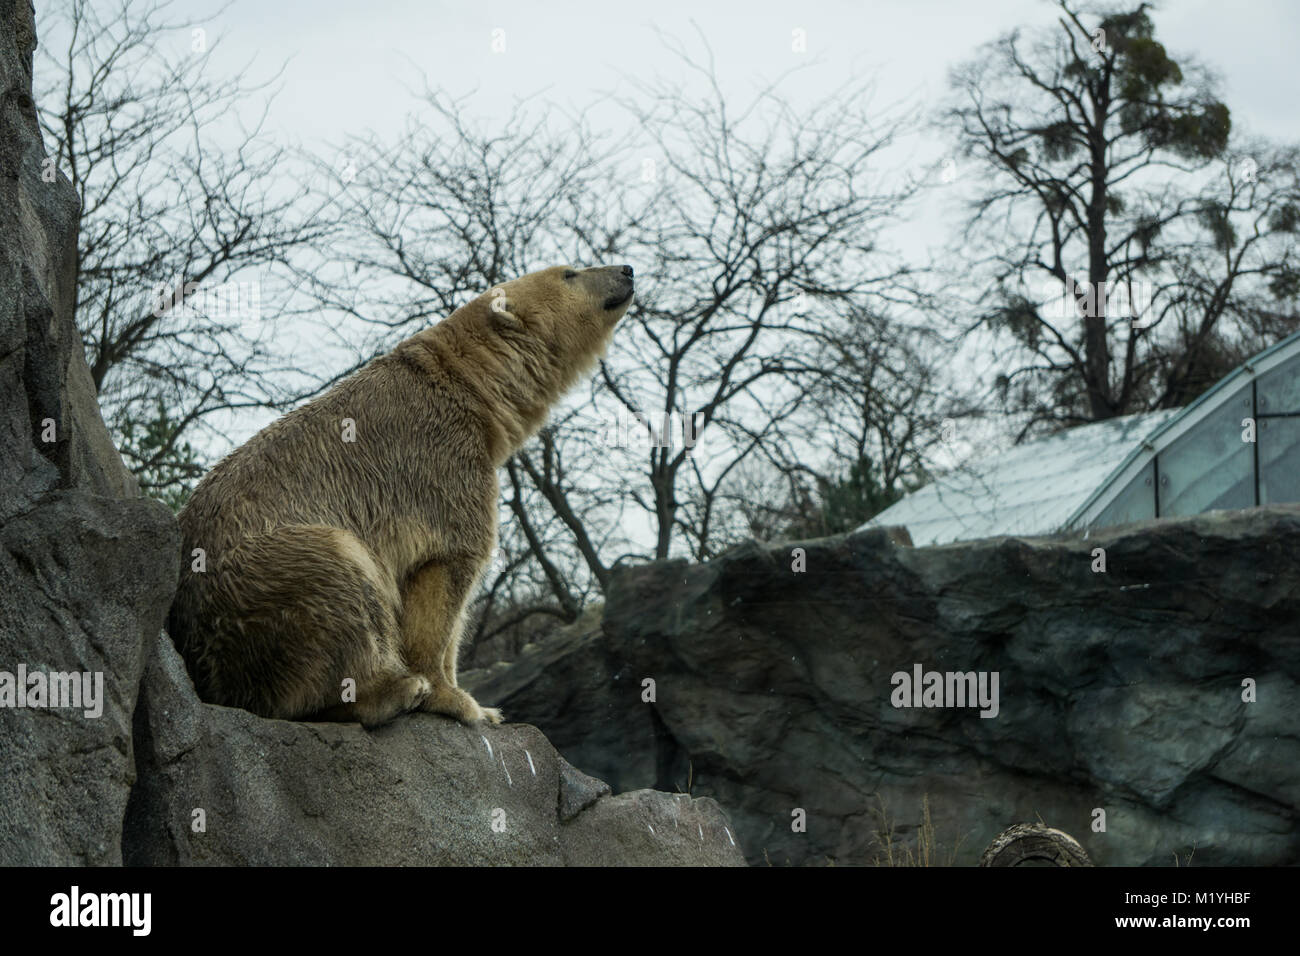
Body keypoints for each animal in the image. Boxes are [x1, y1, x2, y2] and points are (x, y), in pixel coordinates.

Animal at [166, 264, 635, 727]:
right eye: (570, 273)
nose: (627, 270)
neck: (467, 386)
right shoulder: (443, 465)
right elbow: (444, 571)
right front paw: (455, 699)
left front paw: (482, 706)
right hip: (260, 577)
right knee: (338, 566)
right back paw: (391, 690)